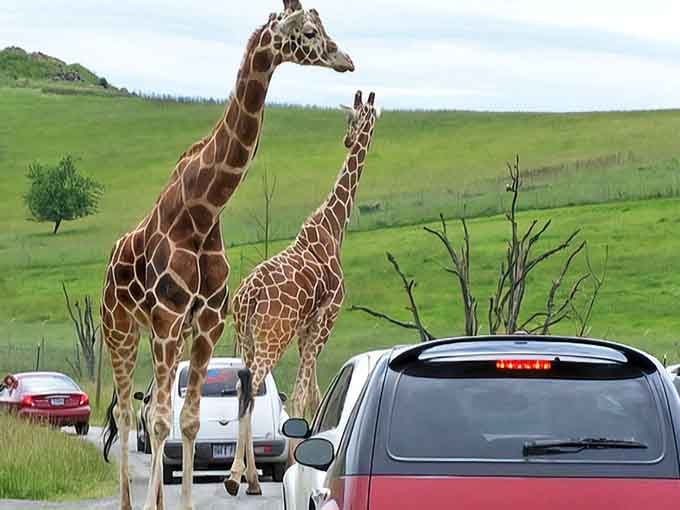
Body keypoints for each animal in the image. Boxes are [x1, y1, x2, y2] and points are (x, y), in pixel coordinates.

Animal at [99, 2, 354, 509]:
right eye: (309, 31)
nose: (345, 59)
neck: (203, 210)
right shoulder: (167, 317)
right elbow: (160, 419)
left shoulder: (206, 322)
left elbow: (189, 420)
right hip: (119, 328)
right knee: (125, 412)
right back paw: (130, 501)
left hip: (155, 334)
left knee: (145, 410)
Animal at [226, 90, 379, 496]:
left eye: (355, 117)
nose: (348, 140)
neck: (334, 227)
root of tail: (245, 298)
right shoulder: (326, 318)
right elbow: (304, 394)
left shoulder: (306, 327)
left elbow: (307, 392)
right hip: (271, 337)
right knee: (252, 391)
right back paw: (234, 477)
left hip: (246, 338)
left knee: (244, 391)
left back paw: (252, 480)